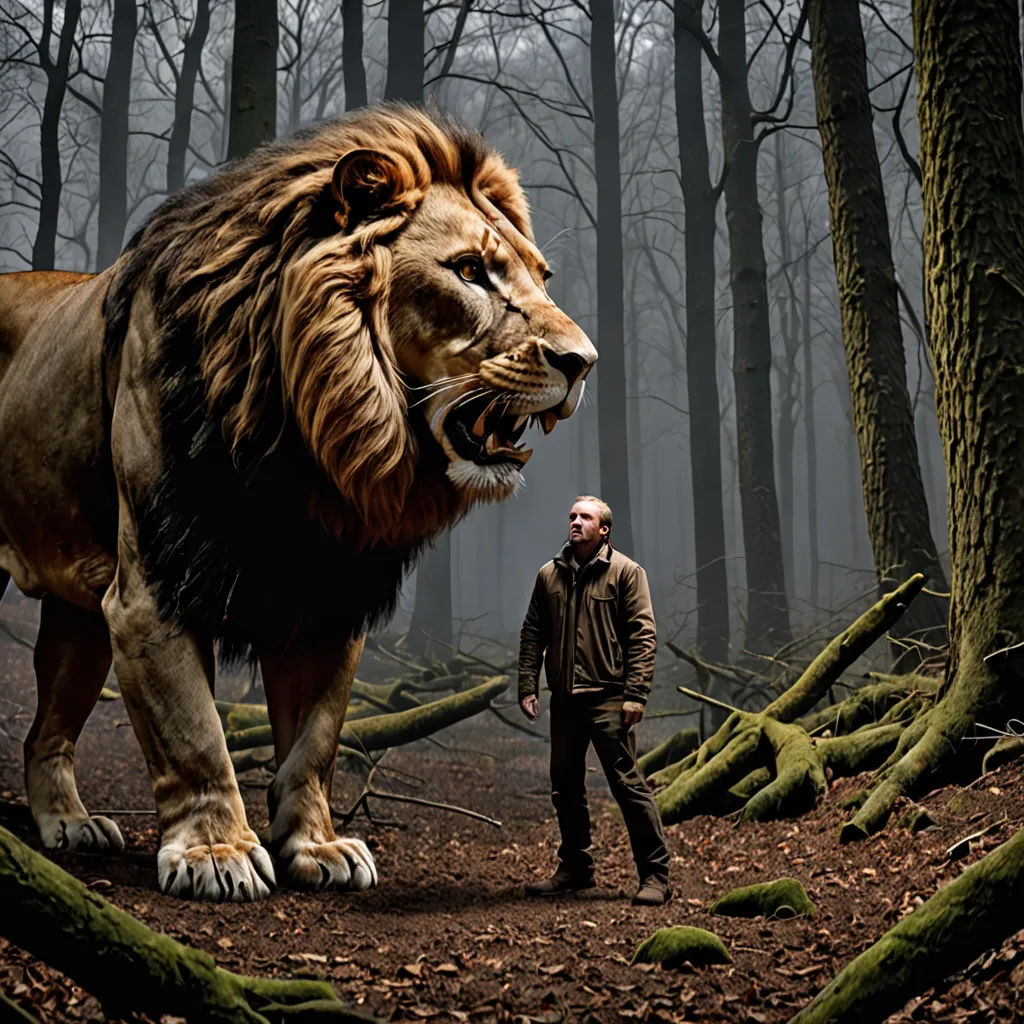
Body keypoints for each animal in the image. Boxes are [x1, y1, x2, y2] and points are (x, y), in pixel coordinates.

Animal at [0, 105, 596, 901]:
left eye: (541, 276)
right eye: (470, 270)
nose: (583, 361)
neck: (310, 444)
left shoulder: (329, 592)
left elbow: (314, 740)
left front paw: (316, 847)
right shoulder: (152, 586)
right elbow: (194, 731)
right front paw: (216, 851)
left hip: (79, 610)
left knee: (48, 731)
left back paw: (67, 823)